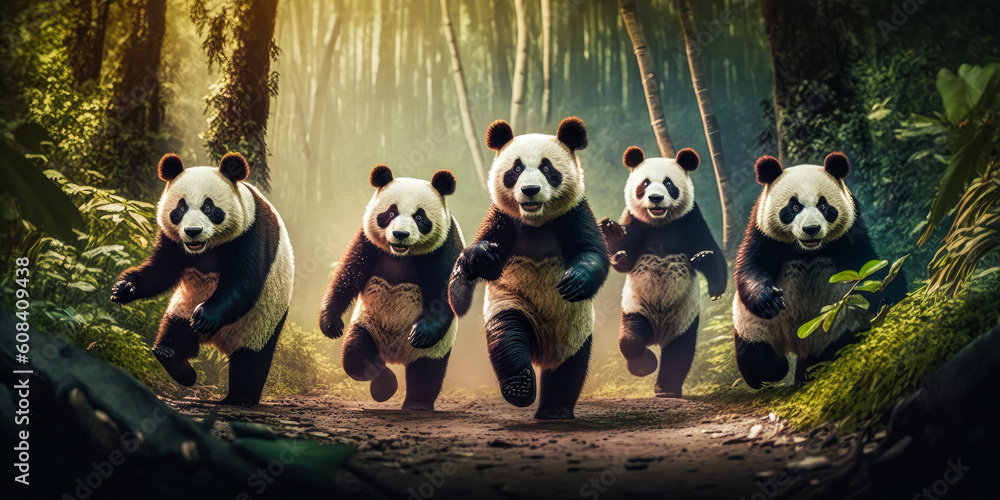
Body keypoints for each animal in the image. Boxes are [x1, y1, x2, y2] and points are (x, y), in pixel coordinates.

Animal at [110, 152, 294, 406]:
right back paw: (171, 358)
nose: (193, 231)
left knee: (251, 360)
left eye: (209, 207)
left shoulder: (250, 232)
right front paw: (124, 288)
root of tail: (219, 341)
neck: (206, 247)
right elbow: (161, 270)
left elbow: (244, 282)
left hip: (260, 323)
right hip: (185, 302)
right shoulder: (172, 240)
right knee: (177, 330)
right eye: (181, 207)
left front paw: (206, 316)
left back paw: (240, 397)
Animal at [318, 165, 463, 411]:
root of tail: (395, 355)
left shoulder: (445, 244)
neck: (401, 254)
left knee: (427, 371)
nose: (400, 234)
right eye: (391, 213)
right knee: (356, 354)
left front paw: (420, 333)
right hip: (368, 324)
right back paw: (384, 384)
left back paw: (417, 403)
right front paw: (330, 323)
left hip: (436, 348)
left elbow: (444, 293)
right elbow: (348, 274)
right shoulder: (367, 240)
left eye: (419, 216)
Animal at [448, 116, 610, 420]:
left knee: (569, 367)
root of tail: (541, 352)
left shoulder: (574, 212)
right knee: (507, 335)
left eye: (547, 168)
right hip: (513, 303)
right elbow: (485, 248)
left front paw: (574, 282)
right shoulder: (503, 217)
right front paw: (480, 256)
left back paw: (554, 410)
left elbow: (593, 250)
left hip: (574, 331)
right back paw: (520, 387)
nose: (530, 190)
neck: (536, 220)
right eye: (516, 168)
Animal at [598, 146, 727, 398]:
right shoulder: (633, 219)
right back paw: (645, 364)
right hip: (637, 307)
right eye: (645, 183)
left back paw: (666, 389)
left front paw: (714, 282)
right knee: (630, 336)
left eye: (669, 184)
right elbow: (623, 258)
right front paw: (612, 233)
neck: (660, 221)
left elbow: (710, 249)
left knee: (679, 351)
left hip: (683, 319)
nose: (655, 198)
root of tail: (658, 334)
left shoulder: (691, 218)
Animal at [732, 152, 906, 388]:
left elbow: (867, 263)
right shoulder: (762, 232)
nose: (811, 229)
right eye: (794, 207)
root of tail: (798, 344)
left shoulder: (851, 231)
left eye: (823, 206)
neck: (807, 250)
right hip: (755, 324)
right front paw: (768, 300)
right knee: (757, 352)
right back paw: (770, 370)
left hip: (834, 322)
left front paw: (885, 297)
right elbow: (750, 266)